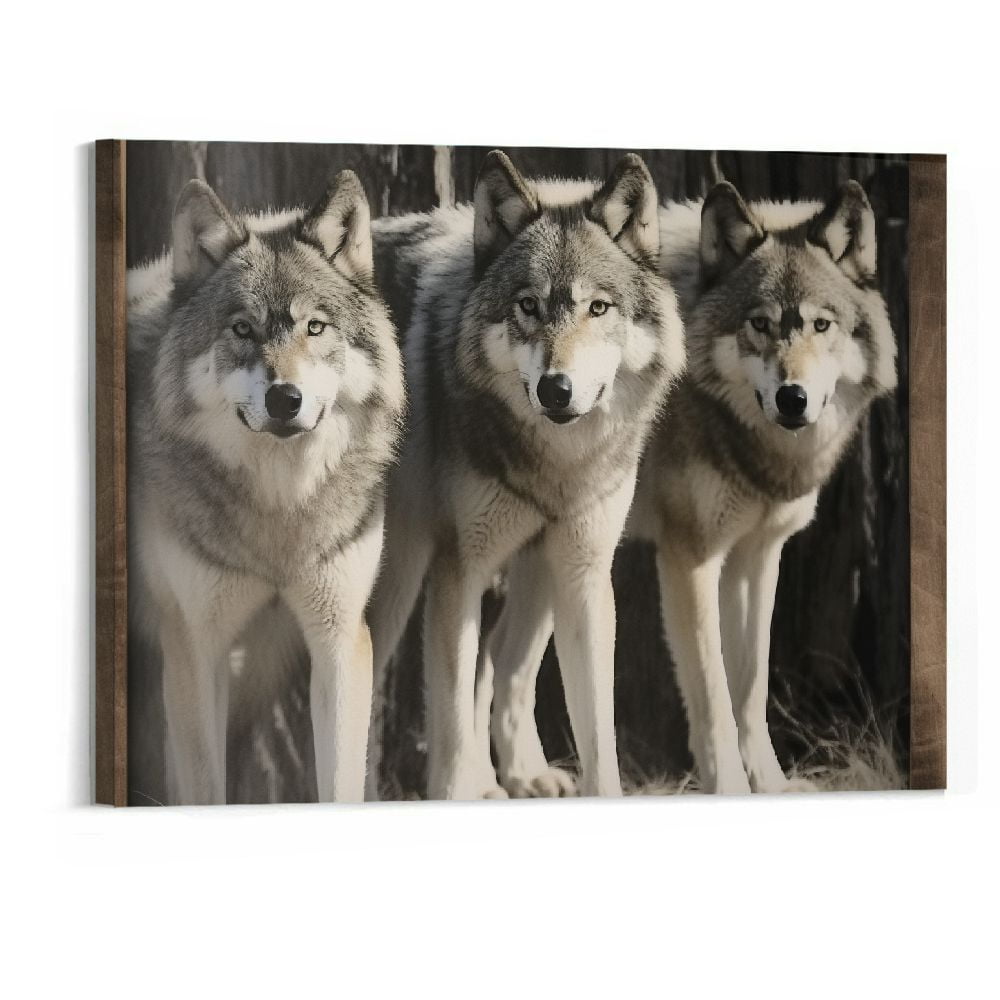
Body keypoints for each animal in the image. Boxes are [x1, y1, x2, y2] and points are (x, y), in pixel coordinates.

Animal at [127, 171, 404, 805]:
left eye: (315, 326)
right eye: (243, 329)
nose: (285, 398)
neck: (280, 512)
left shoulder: (339, 640)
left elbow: (340, 785)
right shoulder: (195, 649)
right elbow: (205, 790)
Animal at [366, 151, 685, 800]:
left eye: (597, 307)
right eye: (528, 306)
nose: (555, 388)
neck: (554, 463)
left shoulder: (585, 571)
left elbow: (596, 728)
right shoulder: (458, 569)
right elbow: (448, 713)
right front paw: (456, 790)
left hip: (539, 565)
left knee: (504, 658)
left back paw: (519, 775)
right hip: (397, 575)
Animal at [489, 178, 897, 795]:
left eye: (821, 325)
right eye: (759, 324)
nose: (793, 398)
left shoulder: (757, 556)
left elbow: (750, 686)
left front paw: (771, 786)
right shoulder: (689, 559)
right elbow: (712, 696)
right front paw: (728, 786)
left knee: (499, 658)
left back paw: (524, 780)